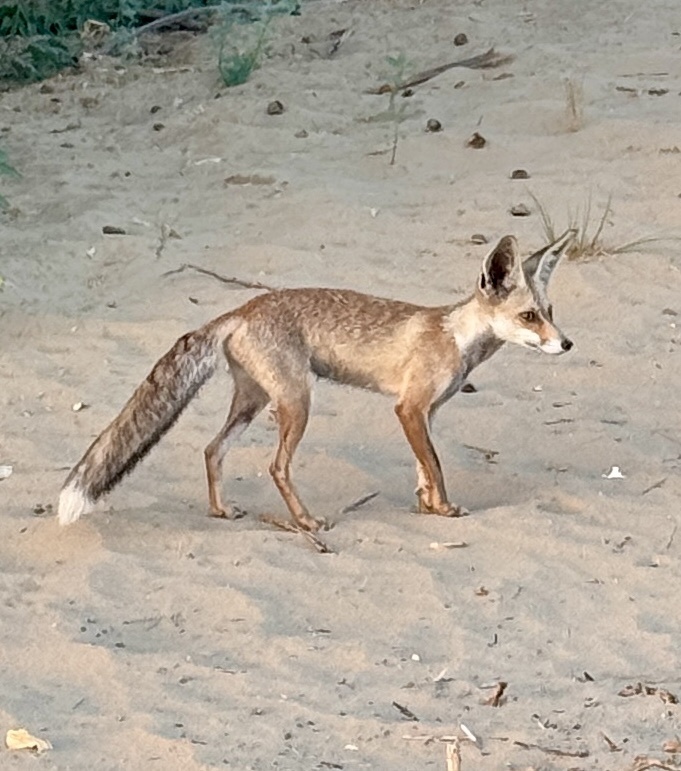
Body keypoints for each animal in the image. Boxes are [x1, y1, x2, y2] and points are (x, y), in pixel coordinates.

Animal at [57, 229, 575, 532]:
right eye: (529, 317)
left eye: (550, 312)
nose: (567, 344)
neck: (456, 337)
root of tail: (243, 307)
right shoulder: (408, 408)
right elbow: (437, 466)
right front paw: (445, 510)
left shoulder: (424, 411)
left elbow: (423, 468)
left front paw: (428, 507)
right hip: (297, 402)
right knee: (276, 467)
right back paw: (305, 520)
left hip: (252, 400)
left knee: (211, 449)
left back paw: (221, 511)